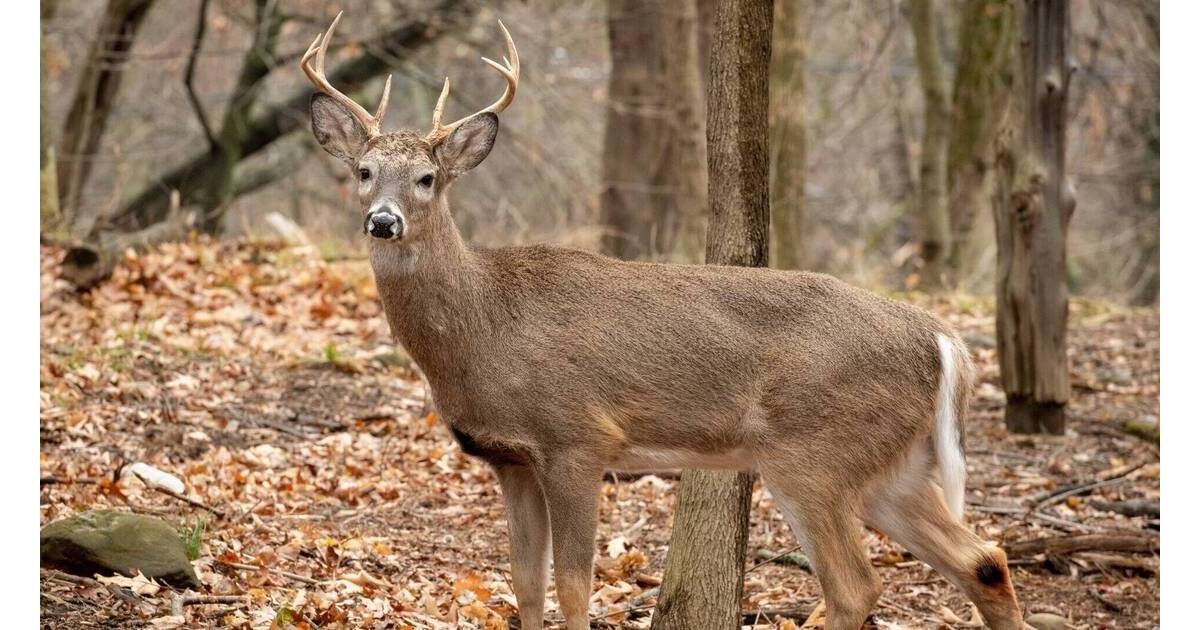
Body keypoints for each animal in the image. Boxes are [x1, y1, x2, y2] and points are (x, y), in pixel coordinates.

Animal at [301, 12, 1024, 630]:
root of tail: (942, 339)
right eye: (363, 171)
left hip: (815, 452)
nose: (383, 220)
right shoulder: (510, 458)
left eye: (427, 178)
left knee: (856, 586)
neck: (486, 326)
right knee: (984, 560)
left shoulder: (578, 437)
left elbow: (574, 586)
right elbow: (525, 584)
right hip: (892, 465)